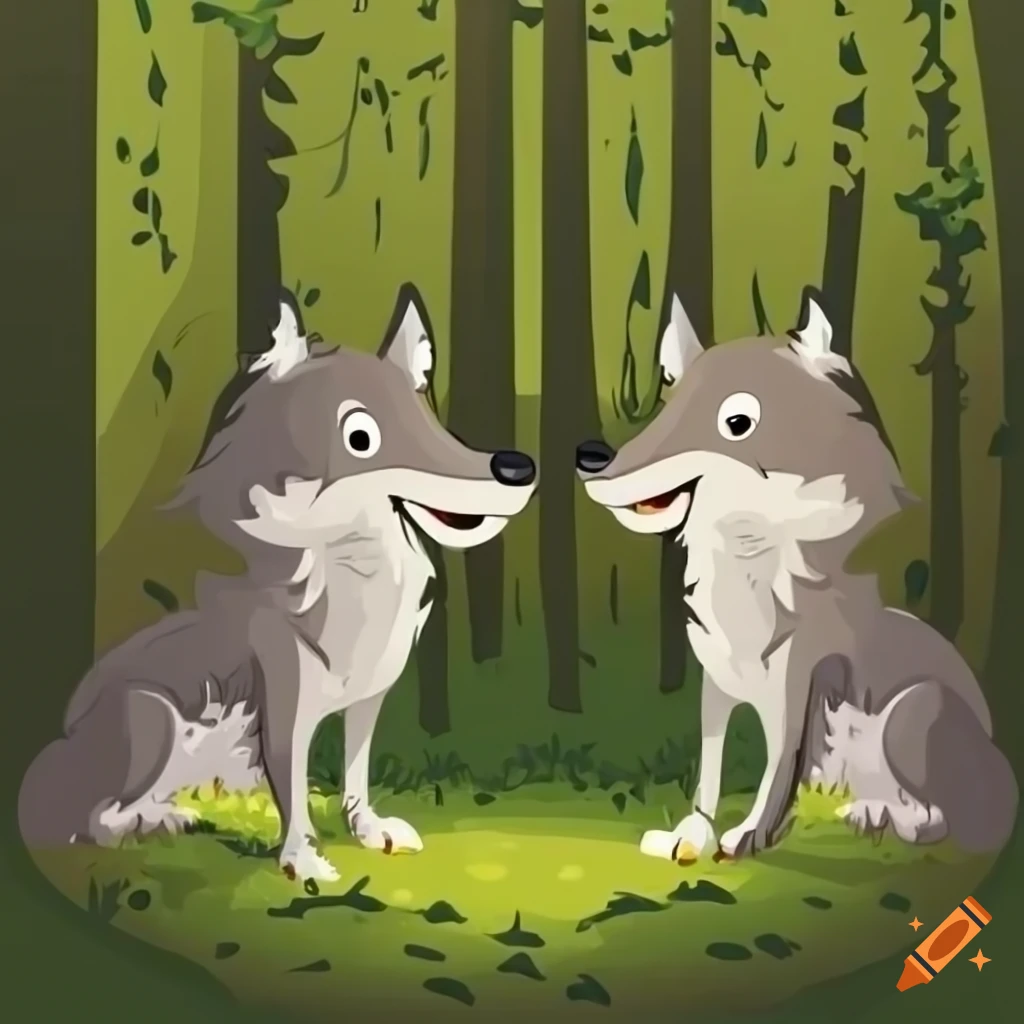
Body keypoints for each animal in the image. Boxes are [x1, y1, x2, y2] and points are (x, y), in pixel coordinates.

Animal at [19, 283, 537, 881]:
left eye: (431, 420)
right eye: (360, 437)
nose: (517, 468)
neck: (360, 578)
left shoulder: (370, 699)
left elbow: (356, 776)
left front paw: (369, 831)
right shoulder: (284, 706)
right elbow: (291, 790)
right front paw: (302, 861)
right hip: (152, 717)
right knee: (95, 820)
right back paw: (150, 825)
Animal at [576, 288, 1017, 861]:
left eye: (737, 422)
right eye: (666, 408)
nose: (591, 460)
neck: (746, 563)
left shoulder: (798, 685)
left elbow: (775, 772)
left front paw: (748, 837)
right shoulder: (716, 686)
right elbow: (709, 774)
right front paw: (690, 836)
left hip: (912, 711)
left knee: (941, 822)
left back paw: (891, 823)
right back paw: (870, 812)